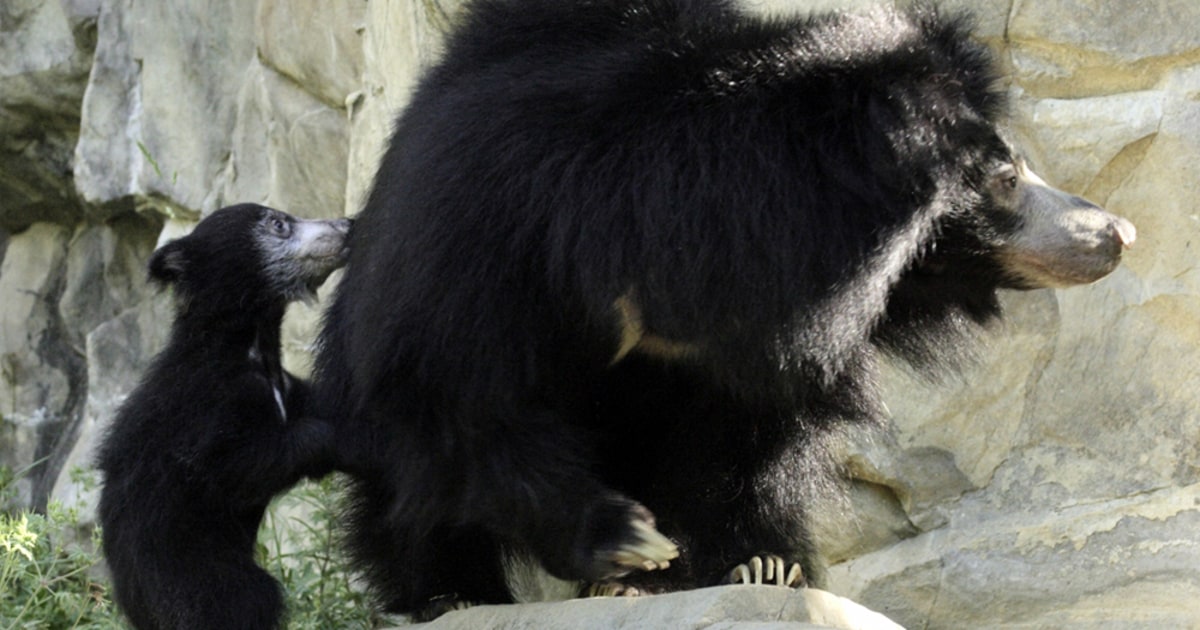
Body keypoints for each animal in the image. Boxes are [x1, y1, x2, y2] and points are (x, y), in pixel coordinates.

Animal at [96, 204, 351, 630]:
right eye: (279, 224)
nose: (348, 224)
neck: (255, 343)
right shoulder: (210, 404)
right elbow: (232, 464)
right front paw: (334, 437)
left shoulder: (291, 388)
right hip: (193, 575)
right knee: (243, 603)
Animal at [313, 0, 1136, 618]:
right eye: (1006, 175)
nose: (1116, 232)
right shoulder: (488, 248)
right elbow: (464, 403)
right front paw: (625, 542)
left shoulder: (750, 343)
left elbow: (754, 440)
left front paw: (760, 565)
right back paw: (450, 592)